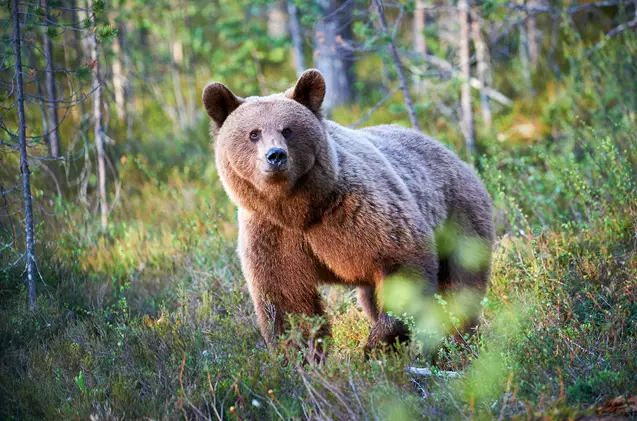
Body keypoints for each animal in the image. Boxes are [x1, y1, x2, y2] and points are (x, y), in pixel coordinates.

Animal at [201, 69, 494, 358]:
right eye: (254, 133)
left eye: (287, 129)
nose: (275, 156)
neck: (297, 208)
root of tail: (456, 156)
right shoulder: (272, 233)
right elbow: (287, 300)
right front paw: (305, 355)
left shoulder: (355, 211)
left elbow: (403, 261)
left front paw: (376, 344)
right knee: (372, 298)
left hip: (460, 220)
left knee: (459, 287)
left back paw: (455, 344)